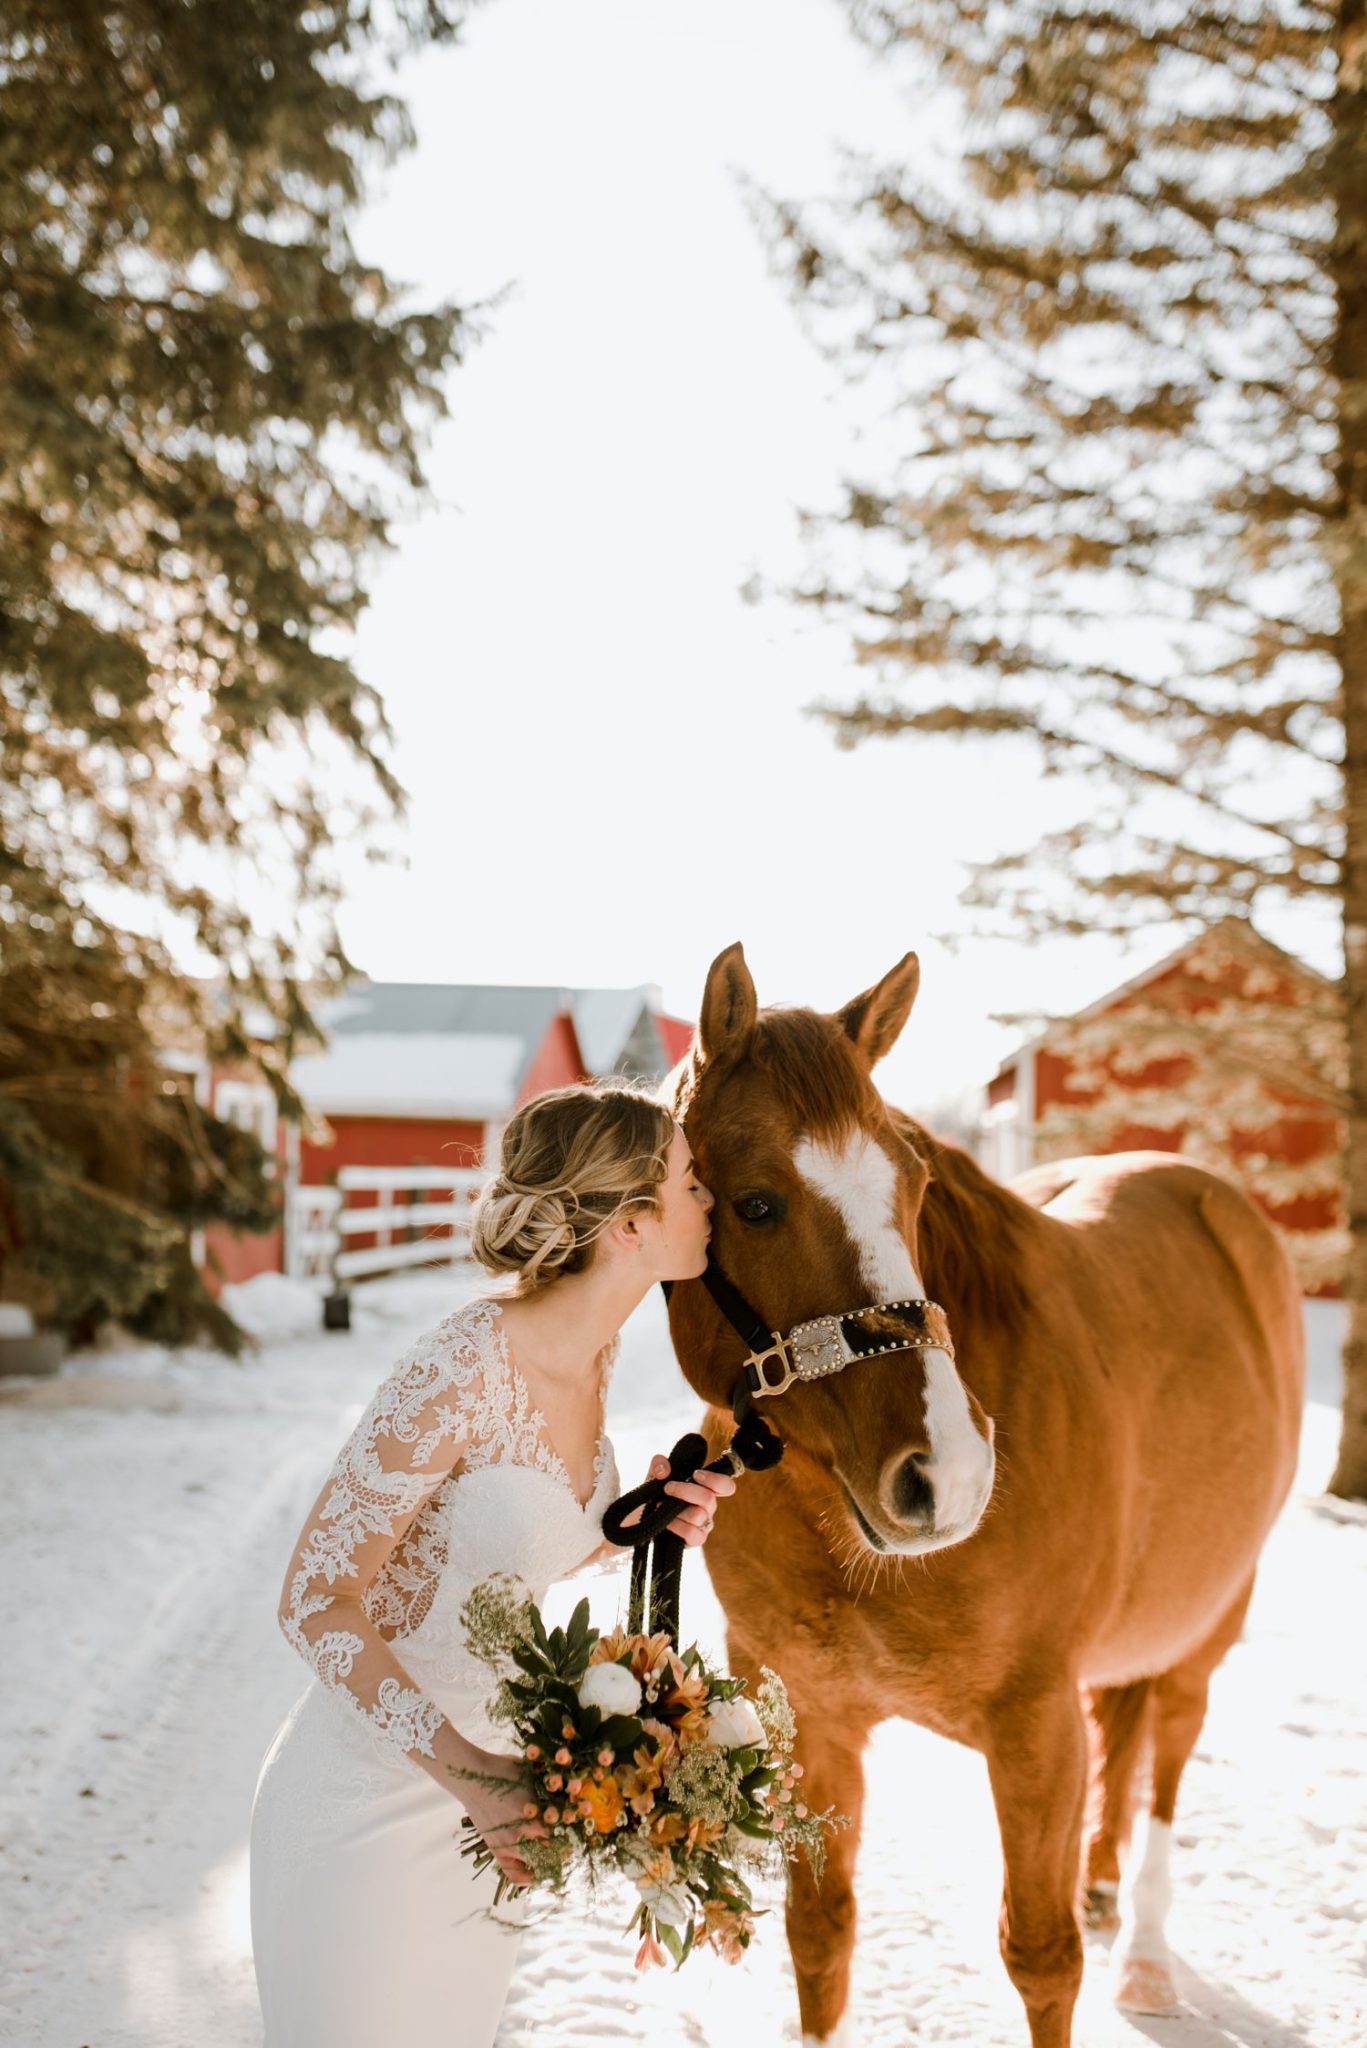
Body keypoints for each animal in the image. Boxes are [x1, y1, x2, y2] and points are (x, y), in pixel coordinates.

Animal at [665, 943, 1303, 2048]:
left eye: (915, 1180)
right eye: (753, 1202)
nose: (947, 1477)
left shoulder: (1031, 1726)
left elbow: (1041, 1957)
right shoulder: (811, 1712)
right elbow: (818, 1935)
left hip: (1208, 1622)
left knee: (1167, 1759)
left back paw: (1144, 1955)